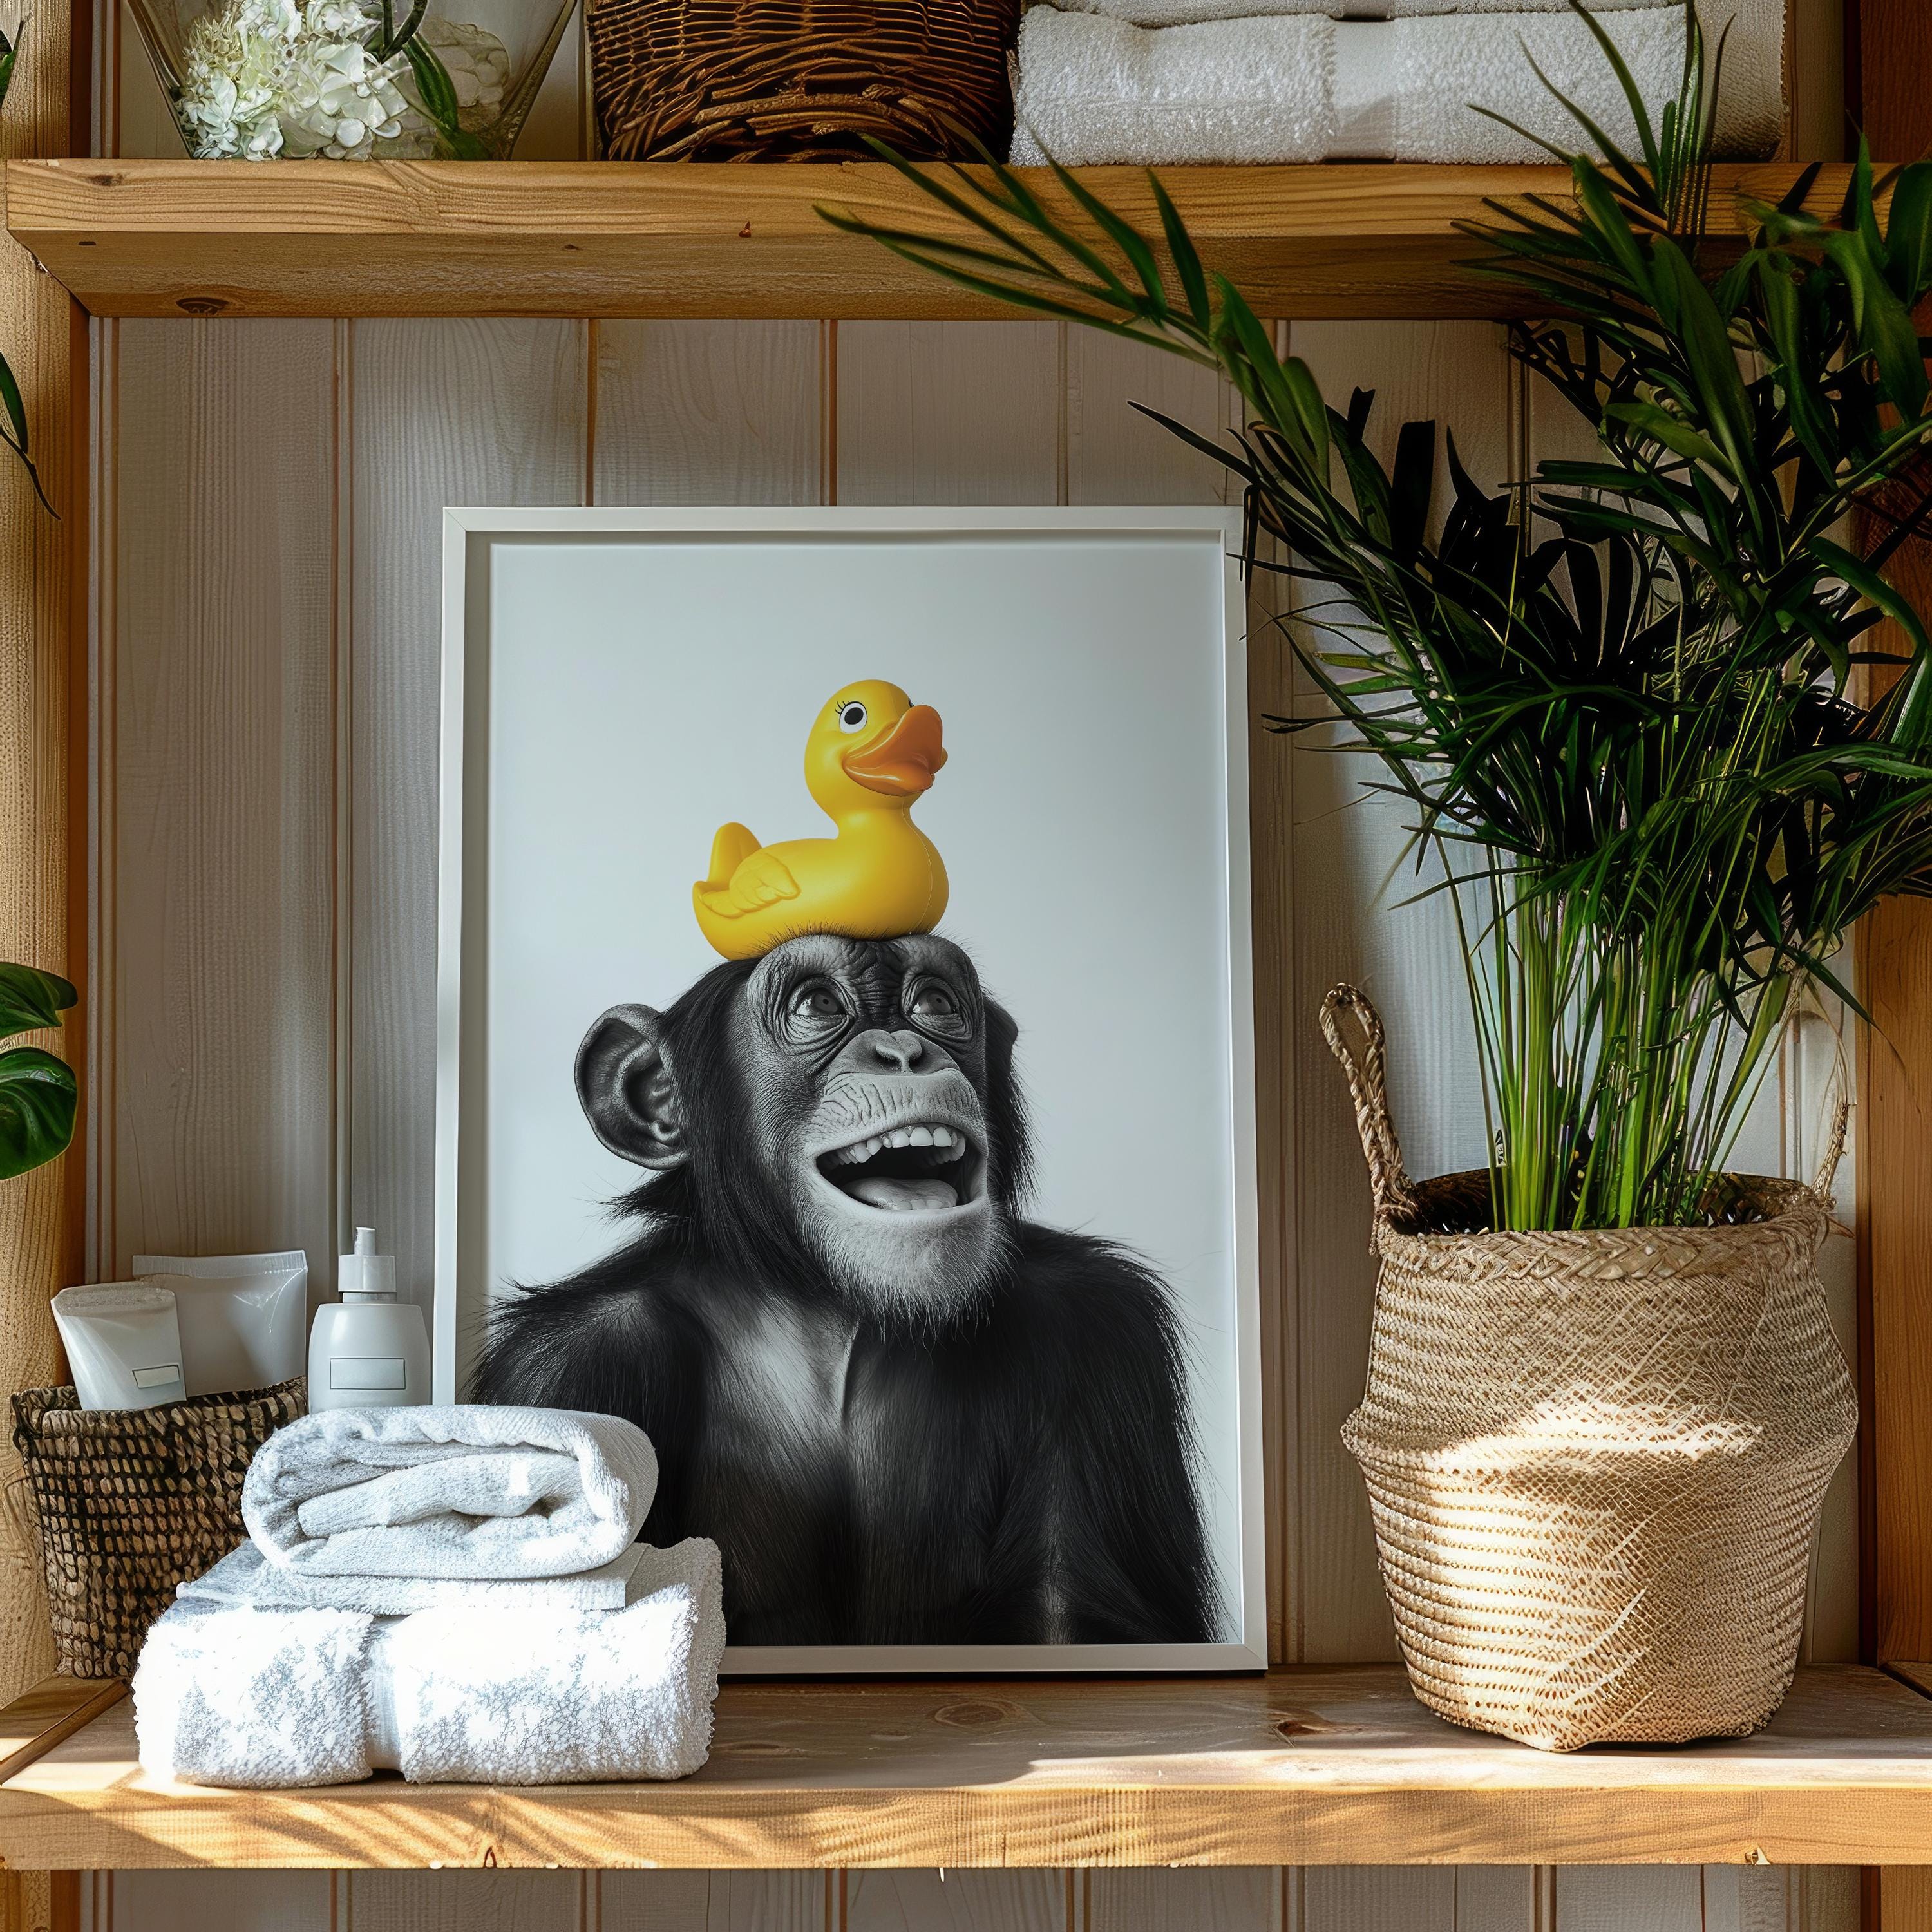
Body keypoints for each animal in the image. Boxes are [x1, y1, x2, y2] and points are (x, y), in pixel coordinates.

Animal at [470, 931, 1219, 1648]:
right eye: (819, 1006)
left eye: (935, 1003)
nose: (905, 1051)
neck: (834, 1313)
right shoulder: (562, 1375)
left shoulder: (1100, 1326)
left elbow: (1068, 1621)